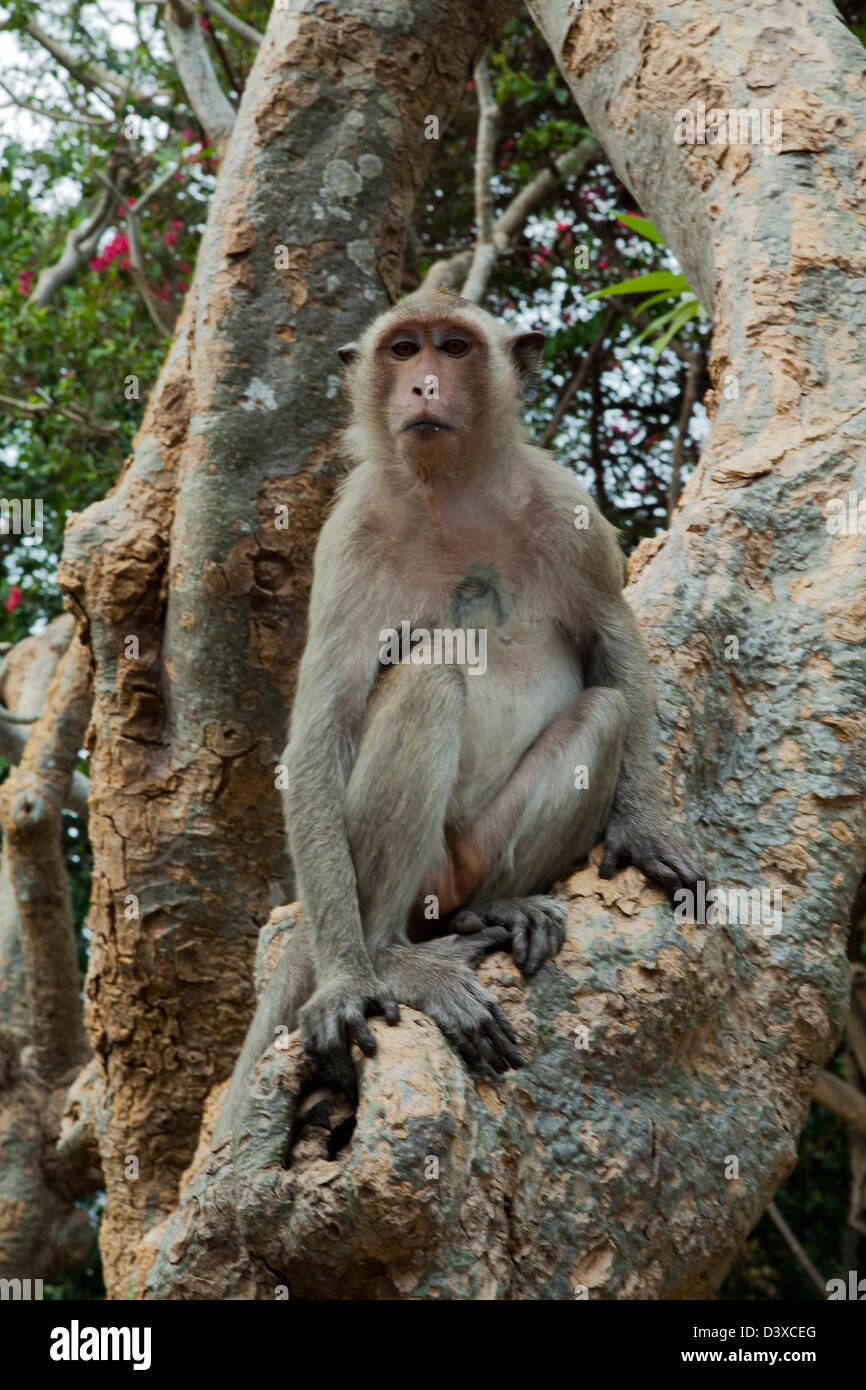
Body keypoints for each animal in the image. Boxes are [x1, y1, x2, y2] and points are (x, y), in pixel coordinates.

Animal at [216, 286, 706, 1139]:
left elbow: (615, 649)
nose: (424, 386)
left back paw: (493, 913)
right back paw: (392, 958)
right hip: (415, 875)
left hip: (475, 855)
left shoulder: (568, 506)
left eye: (453, 347)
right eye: (403, 350)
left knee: (605, 709)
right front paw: (345, 983)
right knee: (429, 678)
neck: (449, 490)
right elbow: (320, 735)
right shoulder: (347, 536)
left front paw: (644, 825)